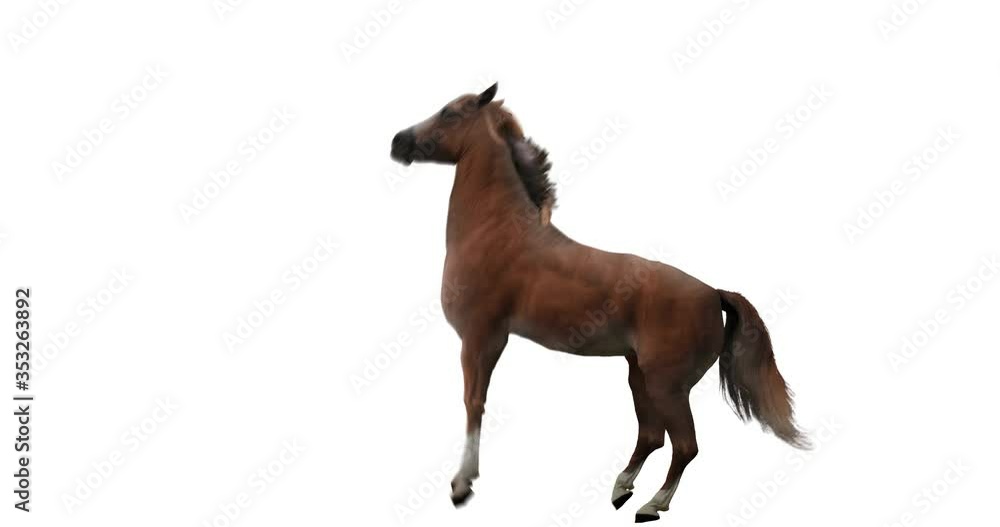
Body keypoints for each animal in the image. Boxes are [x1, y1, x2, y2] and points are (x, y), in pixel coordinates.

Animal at [389, 83, 808, 523]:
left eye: (450, 113)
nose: (398, 142)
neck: (498, 233)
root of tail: (713, 293)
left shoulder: (480, 339)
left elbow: (474, 404)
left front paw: (462, 484)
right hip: (639, 376)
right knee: (652, 436)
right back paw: (621, 489)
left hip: (668, 387)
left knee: (684, 446)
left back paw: (651, 505)